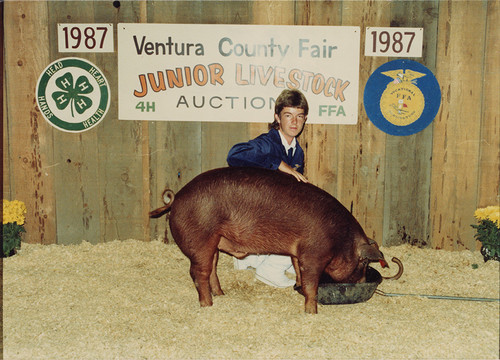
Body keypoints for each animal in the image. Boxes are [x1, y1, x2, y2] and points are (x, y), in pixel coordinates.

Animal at [150, 167, 388, 314]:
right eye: (363, 263)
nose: (362, 281)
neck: (340, 239)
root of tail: (176, 199)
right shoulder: (313, 254)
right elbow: (311, 283)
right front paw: (312, 312)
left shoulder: (298, 252)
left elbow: (298, 271)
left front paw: (297, 287)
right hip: (200, 239)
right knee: (198, 273)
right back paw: (208, 305)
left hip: (213, 242)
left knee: (211, 270)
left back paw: (221, 294)